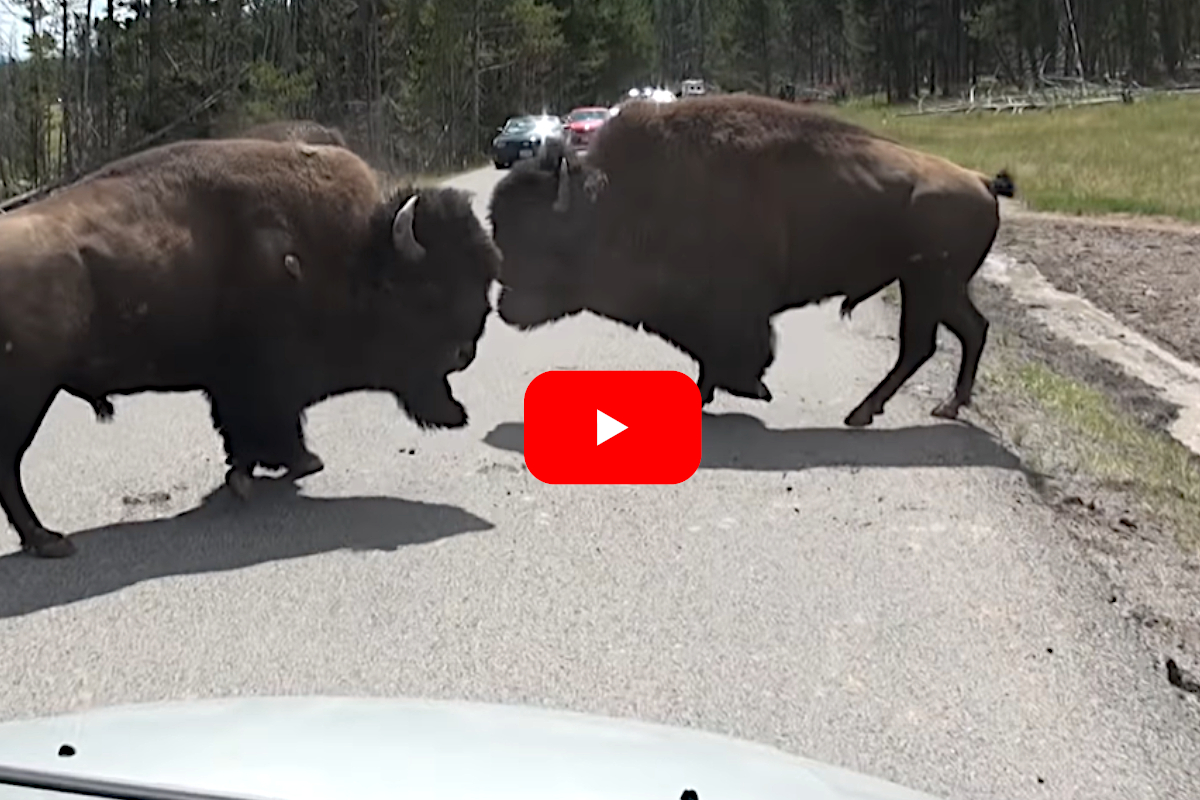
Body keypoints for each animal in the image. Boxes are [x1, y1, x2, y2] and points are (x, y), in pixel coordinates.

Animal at [0, 138, 498, 558]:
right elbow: (264, 425)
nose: (464, 353)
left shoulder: (232, 385)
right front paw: (289, 465)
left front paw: (267, 469)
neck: (351, 257)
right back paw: (49, 541)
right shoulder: (261, 381)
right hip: (28, 398)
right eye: (429, 290)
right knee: (9, 467)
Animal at [489, 93, 1014, 427]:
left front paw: (748, 388)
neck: (618, 201)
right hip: (934, 286)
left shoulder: (728, 310)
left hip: (928, 285)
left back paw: (867, 413)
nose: (504, 299)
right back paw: (934, 407)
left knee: (923, 344)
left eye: (544, 240)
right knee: (966, 331)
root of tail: (980, 181)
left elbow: (732, 352)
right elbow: (708, 357)